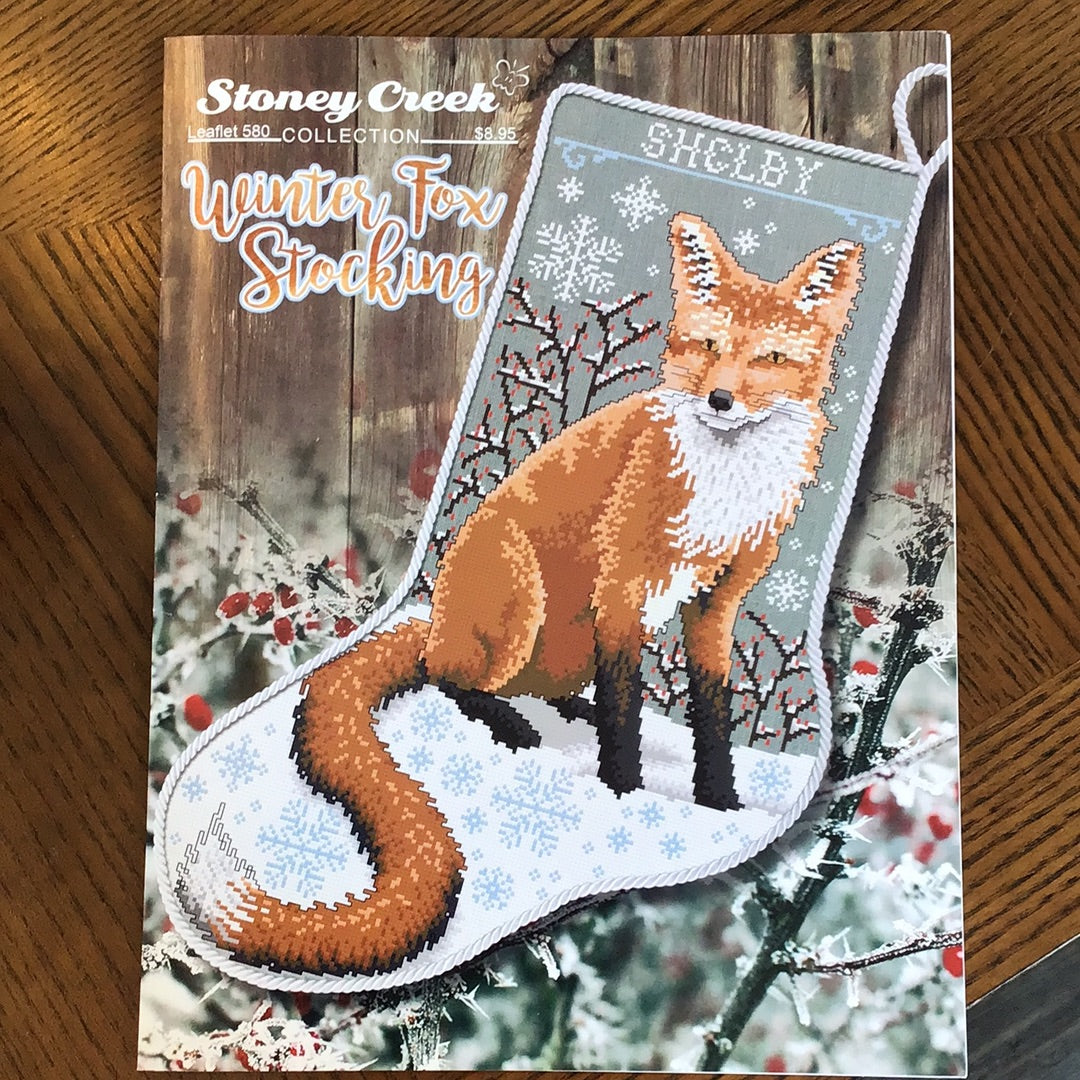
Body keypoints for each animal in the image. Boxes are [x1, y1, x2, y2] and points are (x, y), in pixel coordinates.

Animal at [203, 212, 864, 977]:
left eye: (770, 358)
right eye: (708, 345)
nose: (719, 400)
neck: (726, 485)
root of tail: (430, 613)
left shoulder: (717, 604)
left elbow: (712, 714)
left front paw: (720, 806)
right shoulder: (623, 584)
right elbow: (625, 716)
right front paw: (623, 799)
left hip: (566, 641)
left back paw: (563, 712)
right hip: (522, 602)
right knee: (449, 676)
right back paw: (510, 726)